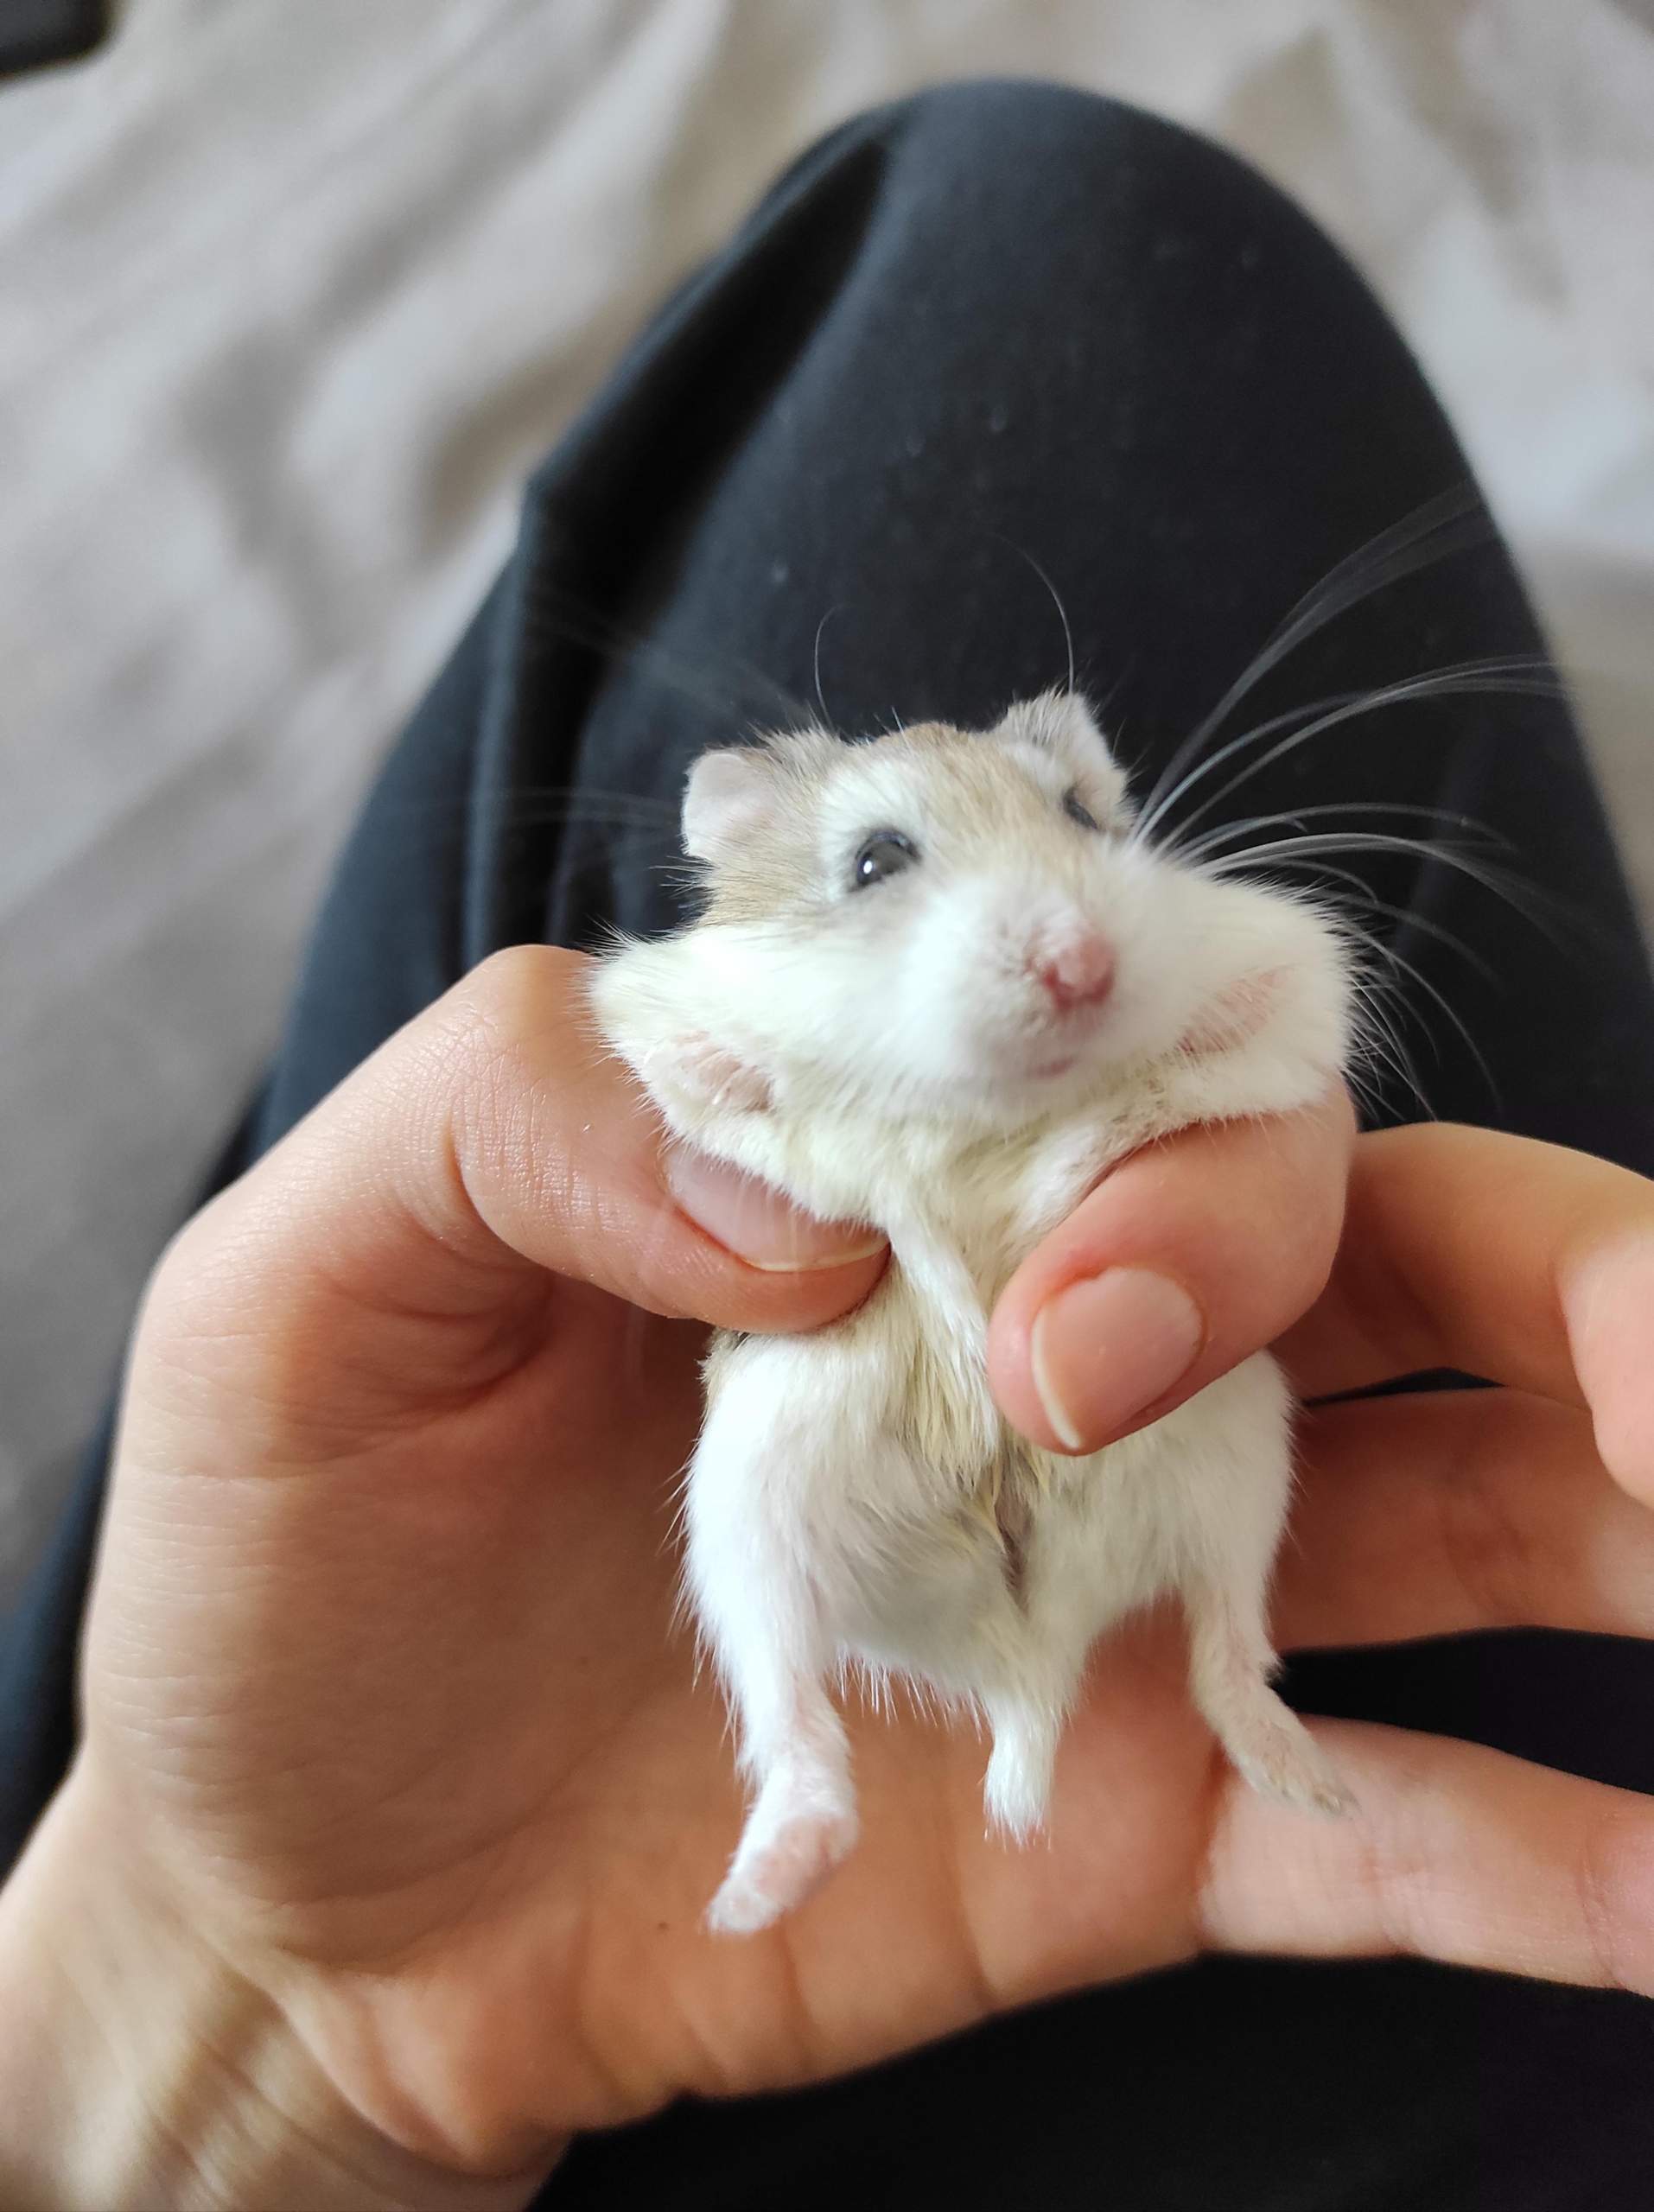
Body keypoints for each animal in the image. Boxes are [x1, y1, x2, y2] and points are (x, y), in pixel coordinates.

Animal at [592, 690, 1352, 1935]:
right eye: (875, 860)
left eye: (1083, 815)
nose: (1082, 964)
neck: (995, 1109)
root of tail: (1023, 1660)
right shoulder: (649, 1022)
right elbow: (765, 1120)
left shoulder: (1300, 982)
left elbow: (1199, 1068)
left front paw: (1058, 1195)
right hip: (747, 1515)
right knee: (794, 1719)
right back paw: (756, 1895)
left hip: (1240, 1466)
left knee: (1224, 1650)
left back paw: (1316, 1788)